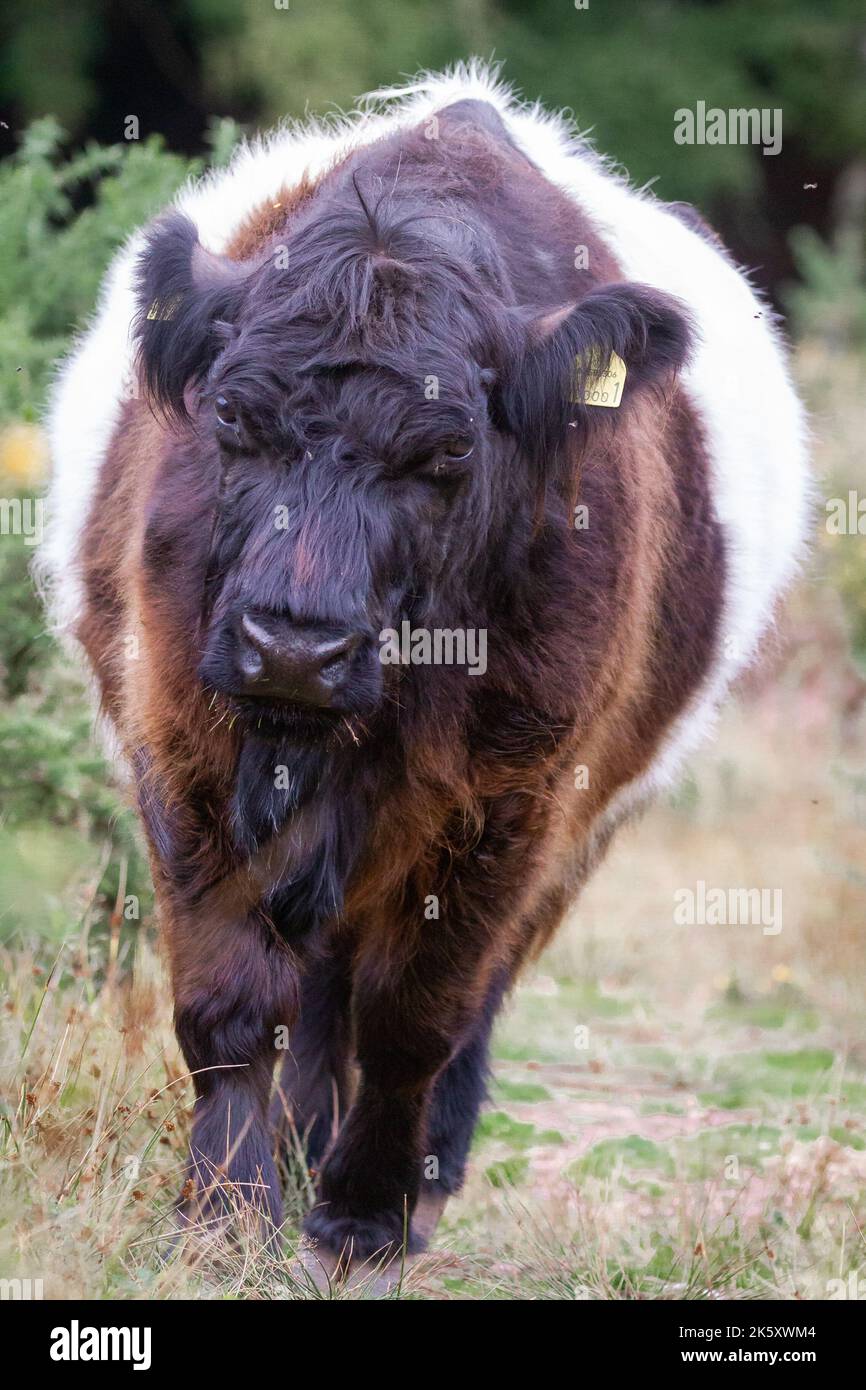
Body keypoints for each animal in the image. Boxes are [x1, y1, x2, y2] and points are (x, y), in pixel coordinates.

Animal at [41, 62, 809, 1278]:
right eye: (230, 416)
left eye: (448, 451)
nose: (294, 647)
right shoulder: (181, 739)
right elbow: (226, 1000)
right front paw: (225, 1210)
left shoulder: (515, 799)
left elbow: (418, 1014)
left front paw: (364, 1214)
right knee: (316, 984)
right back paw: (295, 1148)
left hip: (583, 823)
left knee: (448, 991)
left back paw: (408, 1175)